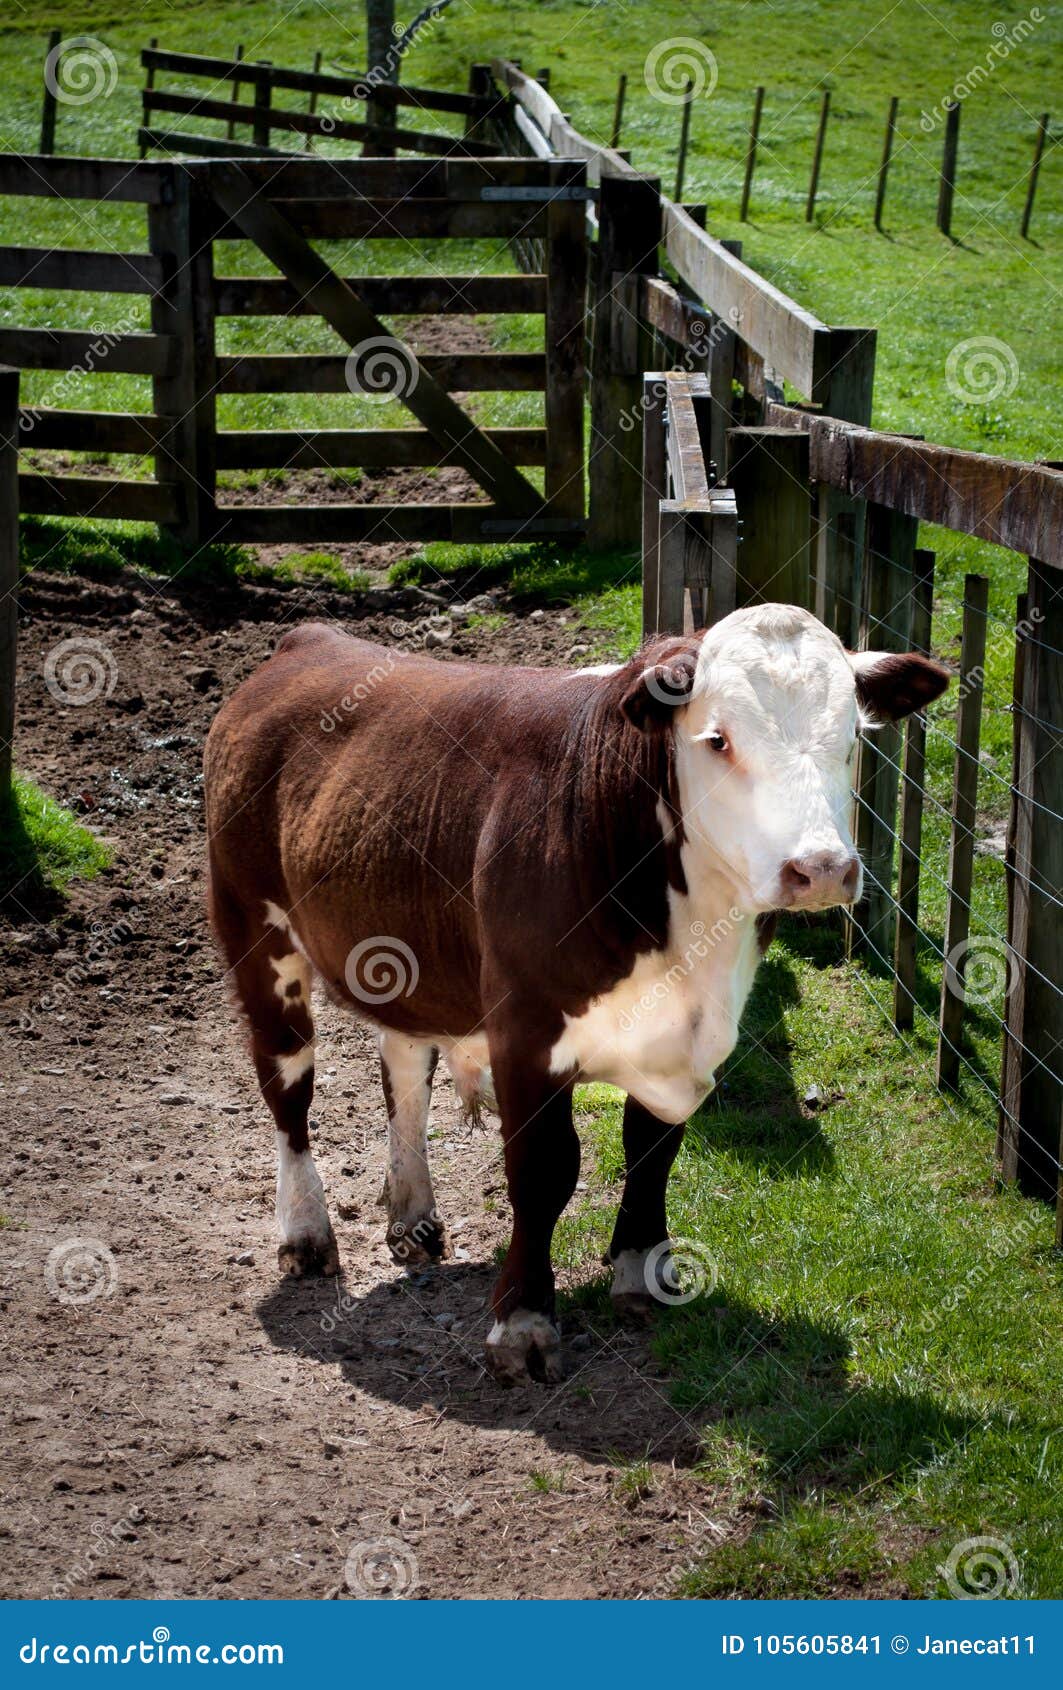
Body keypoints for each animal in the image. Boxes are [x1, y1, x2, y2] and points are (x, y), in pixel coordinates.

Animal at [203, 604, 949, 1385]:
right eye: (717, 738)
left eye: (853, 737)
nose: (822, 868)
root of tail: (310, 639)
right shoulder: (526, 1029)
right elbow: (543, 1169)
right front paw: (524, 1319)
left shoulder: (685, 1039)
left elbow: (652, 1149)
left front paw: (639, 1270)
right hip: (253, 927)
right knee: (287, 1083)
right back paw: (305, 1232)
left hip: (400, 947)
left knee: (403, 1064)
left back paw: (412, 1214)